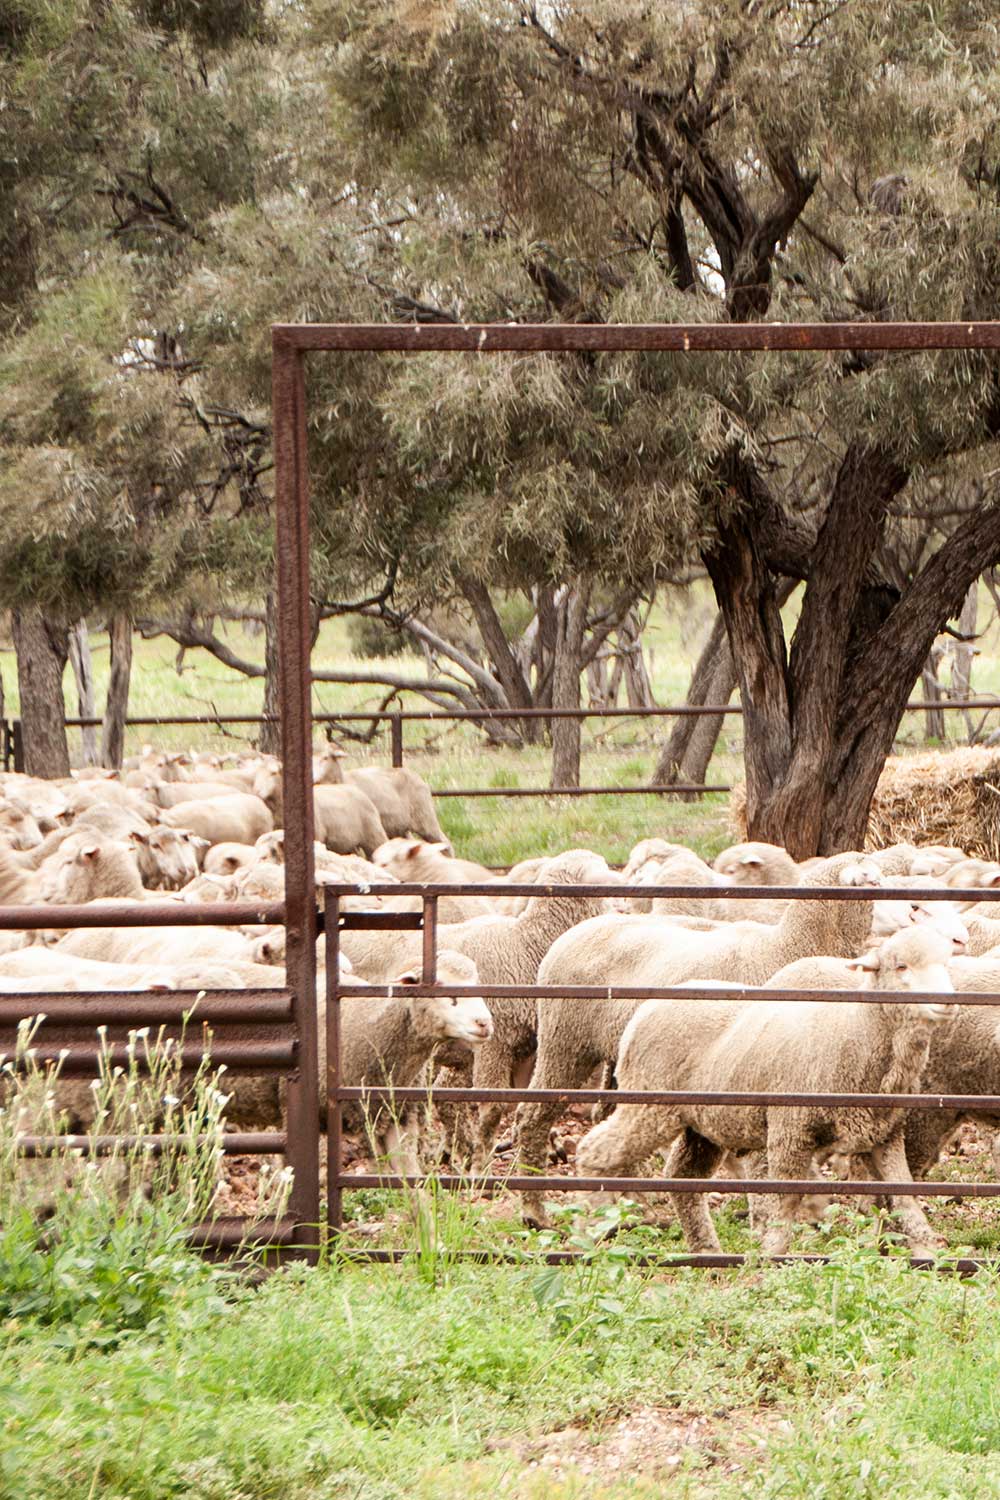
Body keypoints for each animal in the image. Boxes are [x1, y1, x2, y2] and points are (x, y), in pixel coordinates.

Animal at [313, 743, 449, 846]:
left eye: (325, 758)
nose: (313, 777)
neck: (343, 779)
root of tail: (414, 775)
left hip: (425, 817)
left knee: (444, 841)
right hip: (398, 827)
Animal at [514, 852, 883, 1226]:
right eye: (872, 880)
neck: (784, 946)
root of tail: (568, 936)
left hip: (620, 1055)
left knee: (605, 1118)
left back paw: (636, 1204)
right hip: (566, 1041)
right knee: (533, 1115)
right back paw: (535, 1211)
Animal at [575, 927, 959, 1255]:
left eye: (946, 963)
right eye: (901, 966)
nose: (947, 1002)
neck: (856, 1032)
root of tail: (644, 1013)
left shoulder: (884, 1136)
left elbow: (906, 1199)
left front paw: (928, 1255)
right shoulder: (790, 1129)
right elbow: (786, 1199)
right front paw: (771, 1256)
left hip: (702, 1124)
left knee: (682, 1178)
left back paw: (706, 1251)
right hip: (648, 1103)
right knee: (593, 1150)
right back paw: (590, 1228)